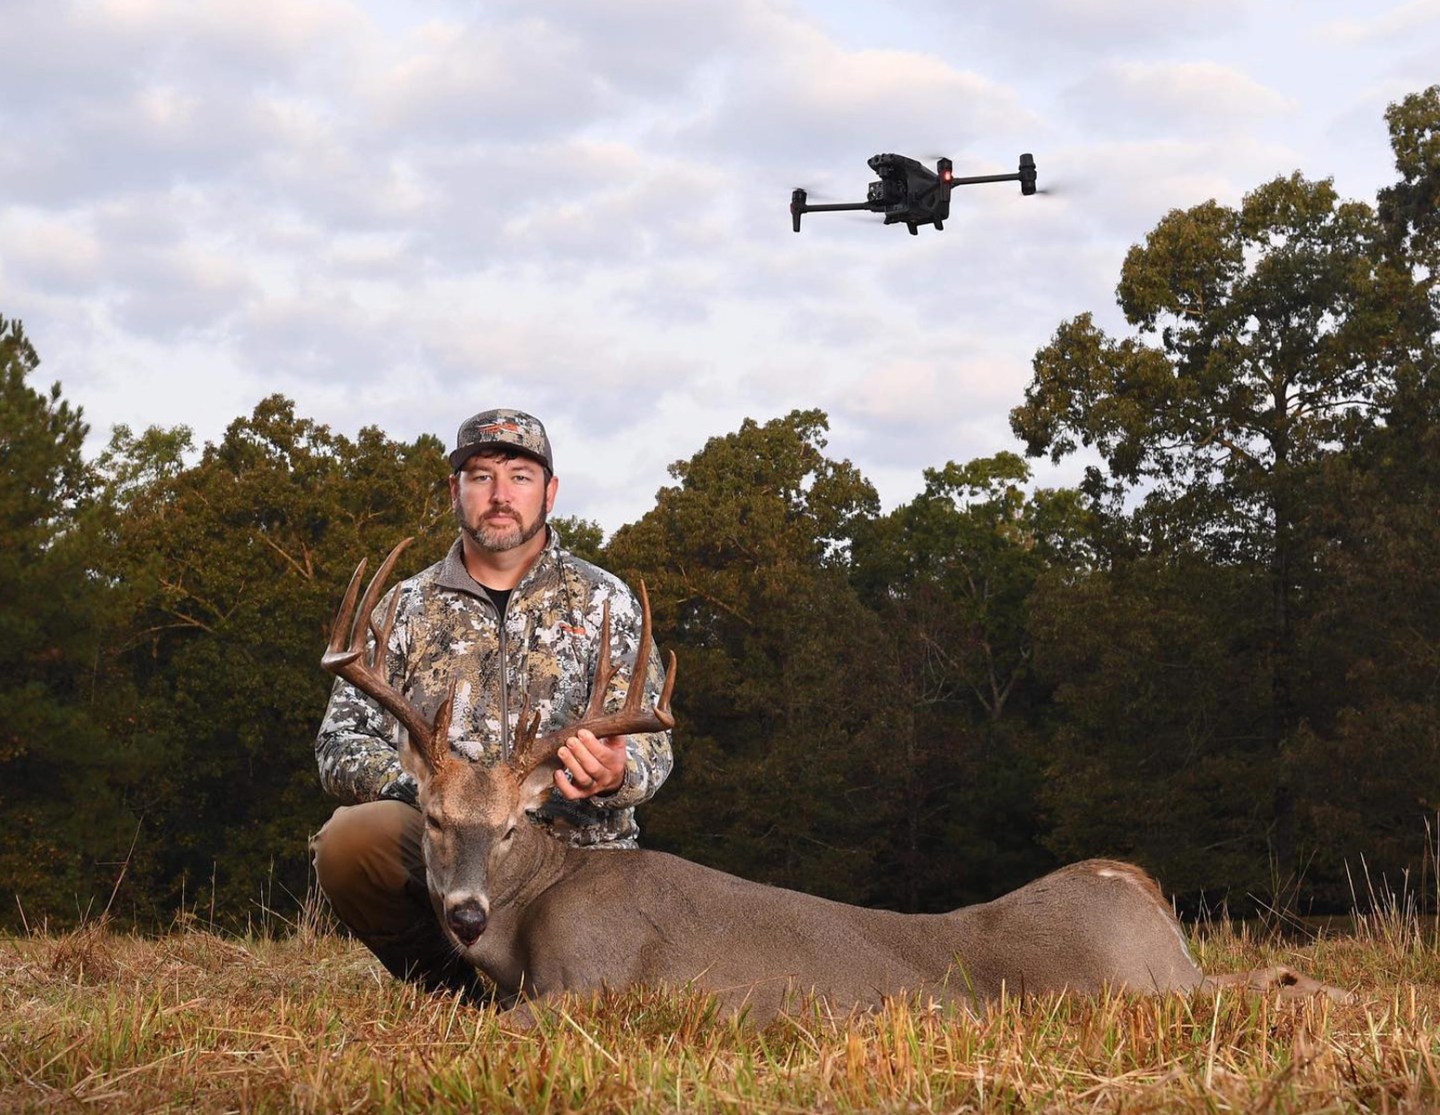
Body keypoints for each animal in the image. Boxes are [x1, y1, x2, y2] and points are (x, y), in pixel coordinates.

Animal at [322, 541, 1347, 1021]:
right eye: (434, 815)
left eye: (506, 828)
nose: (463, 915)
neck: (533, 910)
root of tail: (1130, 880)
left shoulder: (593, 983)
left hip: (1127, 983)